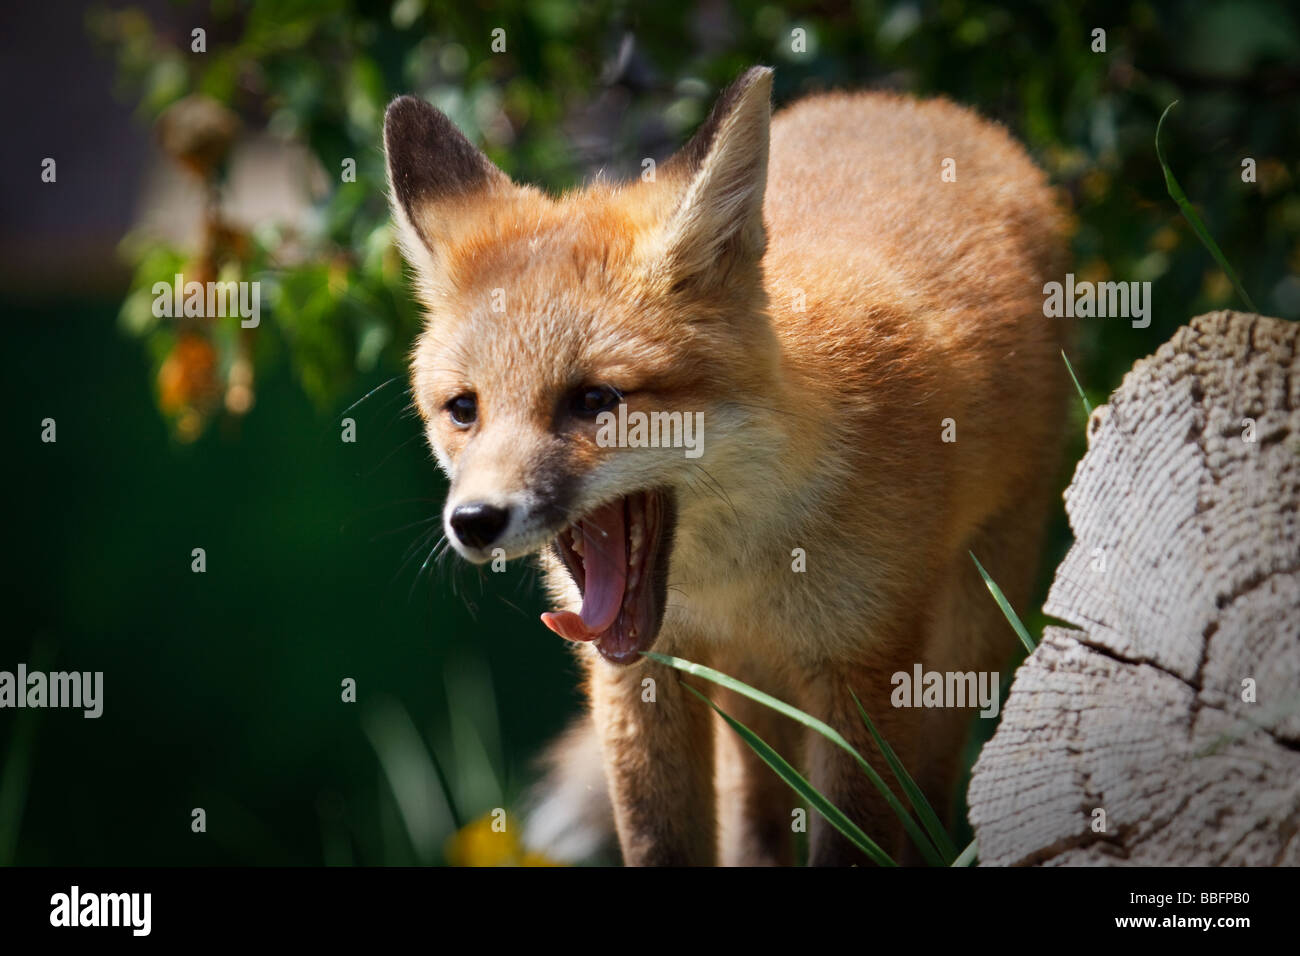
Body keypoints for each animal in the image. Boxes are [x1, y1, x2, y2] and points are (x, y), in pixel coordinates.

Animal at [383, 66, 1070, 866]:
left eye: (595, 399)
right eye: (464, 409)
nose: (475, 522)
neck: (736, 578)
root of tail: (909, 103)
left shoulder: (867, 662)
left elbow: (856, 840)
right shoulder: (641, 678)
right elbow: (658, 840)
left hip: (970, 635)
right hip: (751, 693)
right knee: (757, 822)